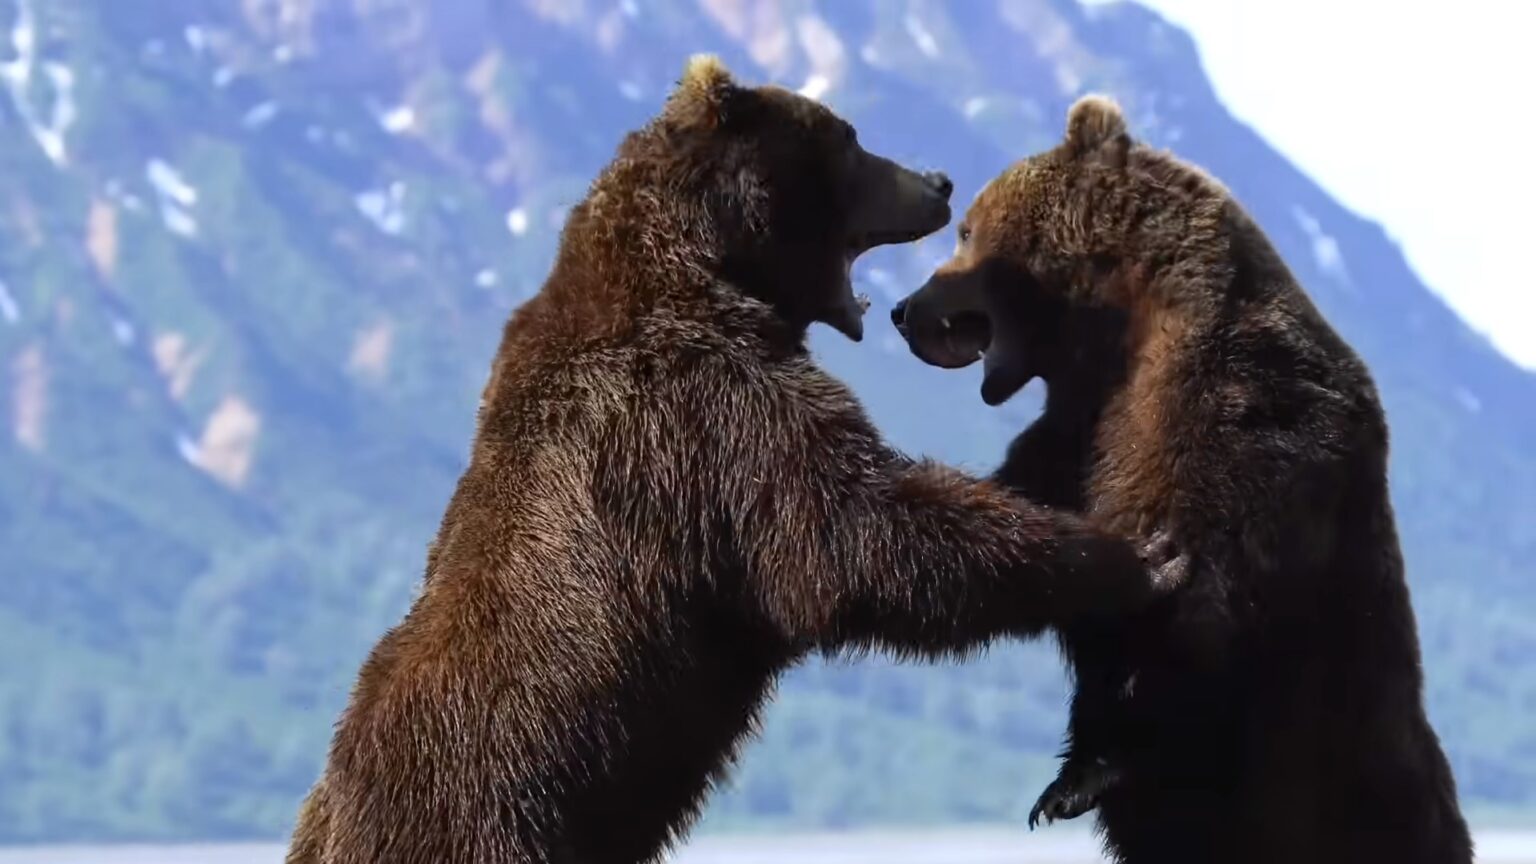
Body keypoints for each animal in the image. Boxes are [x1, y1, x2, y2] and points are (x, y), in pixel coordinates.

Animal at [285, 60, 1167, 864]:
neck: (706, 266)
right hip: (497, 817)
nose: (939, 180)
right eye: (851, 139)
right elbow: (849, 535)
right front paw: (1129, 556)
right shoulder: (701, 411)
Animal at [890, 95, 1472, 864]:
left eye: (964, 231)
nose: (903, 309)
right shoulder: (1074, 439)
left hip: (1360, 786)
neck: (1119, 337)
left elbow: (1202, 594)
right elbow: (1012, 513)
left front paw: (1084, 775)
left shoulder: (1235, 408)